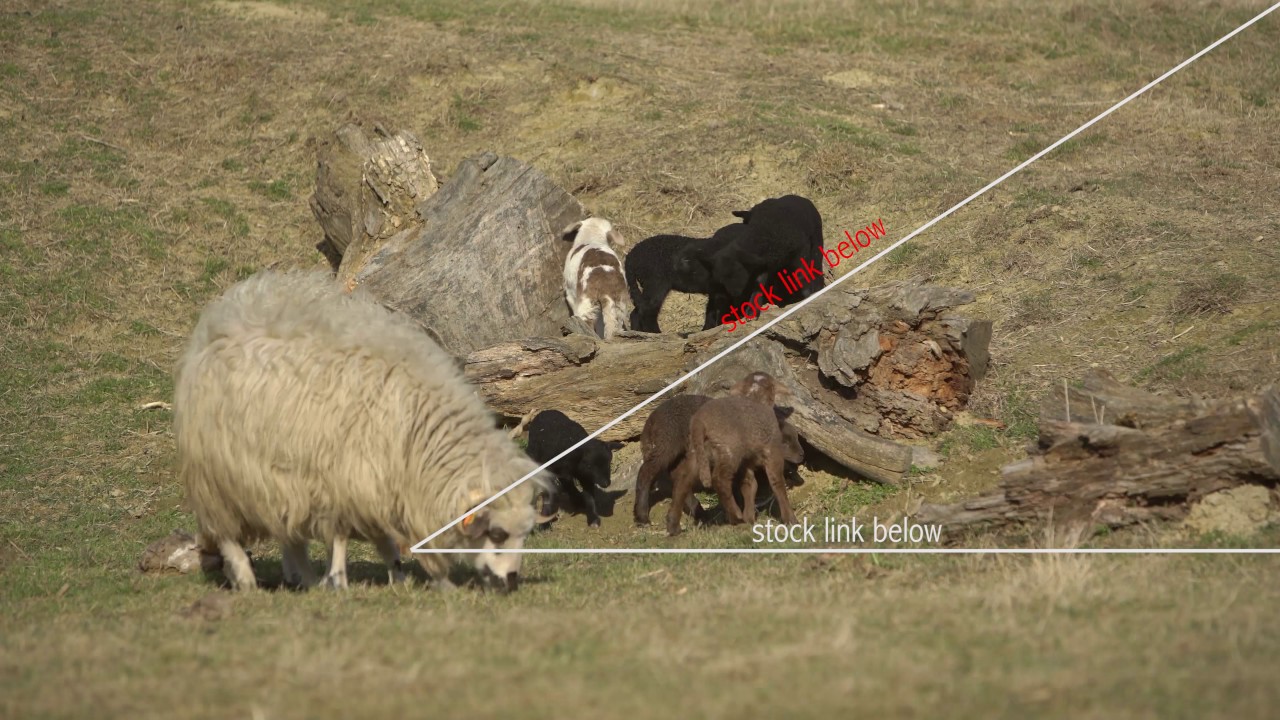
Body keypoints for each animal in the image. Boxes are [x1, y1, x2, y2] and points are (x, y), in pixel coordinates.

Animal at [174, 269, 553, 593]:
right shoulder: (343, 479)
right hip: (220, 474)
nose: (511, 583)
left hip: (280, 474)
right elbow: (342, 536)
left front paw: (403, 578)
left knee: (289, 530)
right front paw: (340, 580)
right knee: (227, 532)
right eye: (498, 534)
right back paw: (248, 579)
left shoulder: (375, 484)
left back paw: (304, 578)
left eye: (524, 534)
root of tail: (221, 318)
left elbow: (384, 540)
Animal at [634, 381, 805, 527]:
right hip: (667, 445)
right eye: (784, 441)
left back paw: (699, 512)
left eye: (797, 437)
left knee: (677, 476)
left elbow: (748, 485)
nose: (802, 455)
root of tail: (650, 422)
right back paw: (642, 516)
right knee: (646, 472)